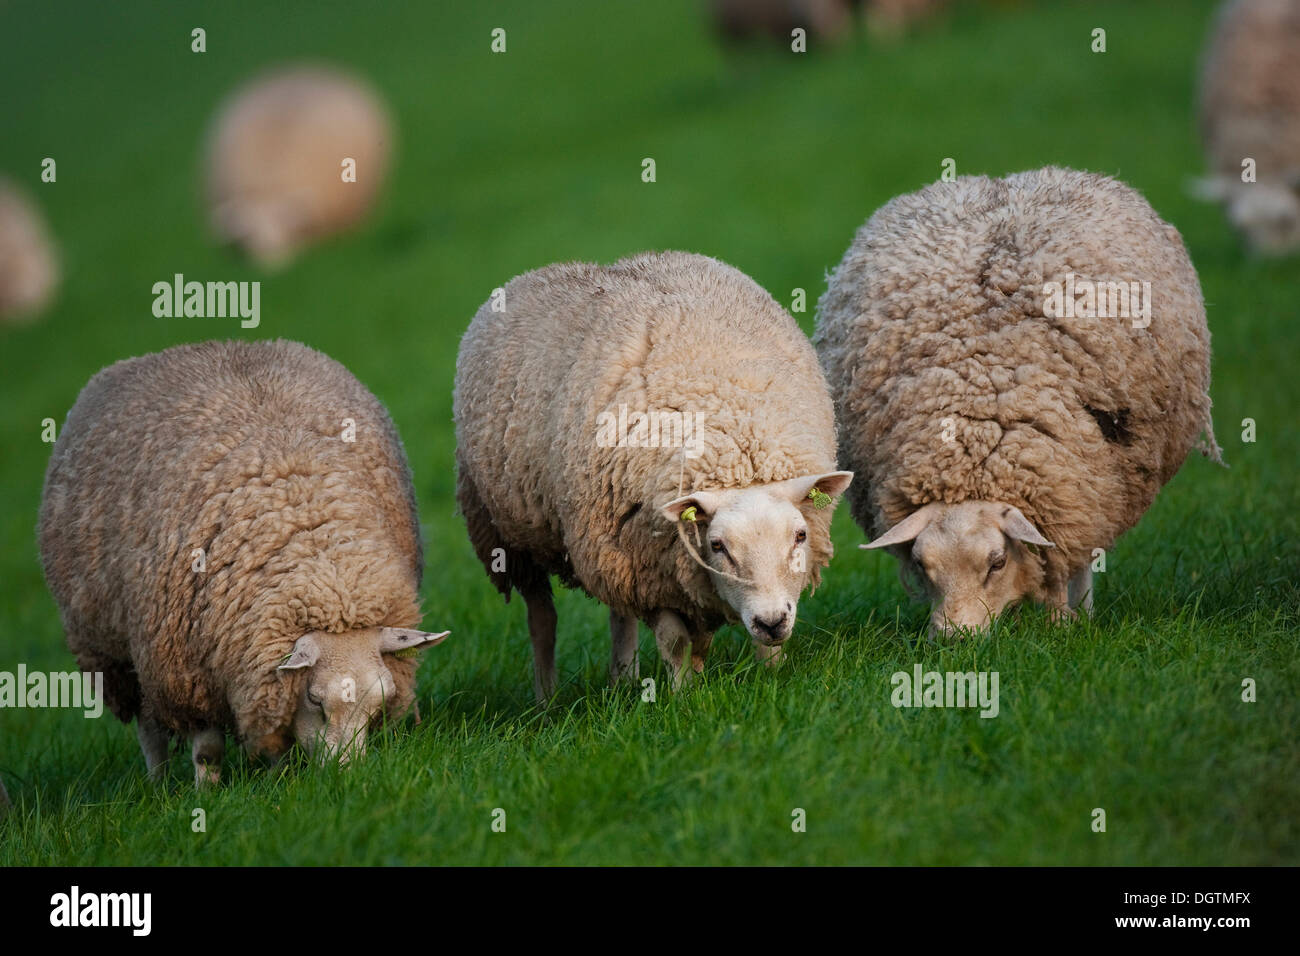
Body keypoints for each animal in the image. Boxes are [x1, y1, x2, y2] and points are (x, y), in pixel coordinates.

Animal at [38, 339, 447, 785]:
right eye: (315, 701)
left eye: (379, 706)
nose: (347, 776)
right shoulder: (186, 671)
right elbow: (206, 749)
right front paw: (207, 791)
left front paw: (280, 776)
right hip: (117, 655)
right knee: (149, 727)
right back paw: (159, 783)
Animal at [454, 251, 852, 699]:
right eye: (718, 546)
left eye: (800, 536)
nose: (771, 621)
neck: (734, 450)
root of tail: (536, 273)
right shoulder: (650, 569)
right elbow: (675, 640)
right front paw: (682, 697)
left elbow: (742, 643)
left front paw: (771, 676)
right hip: (510, 535)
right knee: (542, 618)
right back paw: (547, 699)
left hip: (605, 541)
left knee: (618, 613)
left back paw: (622, 679)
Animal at [814, 166, 1223, 637]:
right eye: (922, 564)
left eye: (997, 562)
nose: (954, 640)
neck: (977, 425)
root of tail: (1010, 180)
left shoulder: (1073, 489)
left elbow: (1062, 566)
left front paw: (1062, 624)